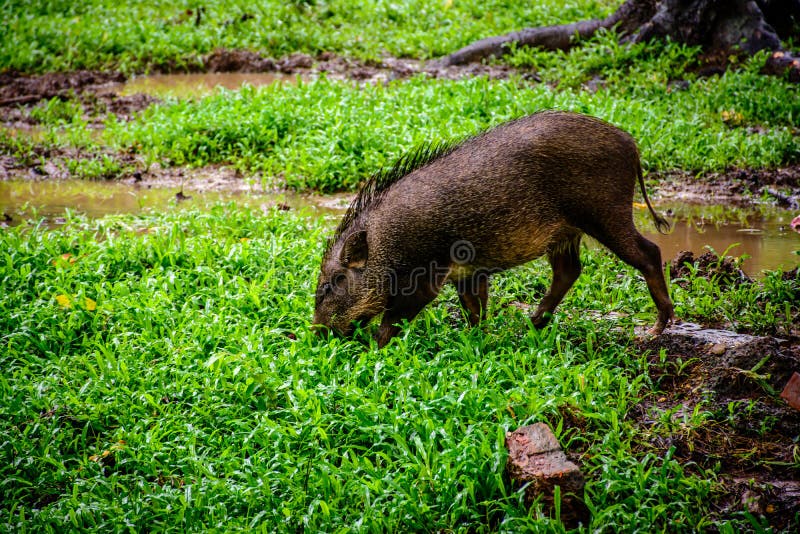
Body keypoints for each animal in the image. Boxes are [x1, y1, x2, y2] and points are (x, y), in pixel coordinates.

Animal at [314, 111, 675, 347]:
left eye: (333, 283)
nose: (317, 333)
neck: (387, 245)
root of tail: (631, 145)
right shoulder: (467, 272)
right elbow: (475, 309)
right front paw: (477, 339)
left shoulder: (425, 279)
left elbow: (391, 324)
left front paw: (375, 351)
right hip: (566, 233)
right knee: (569, 271)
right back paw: (533, 324)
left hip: (606, 216)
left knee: (649, 253)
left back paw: (656, 329)